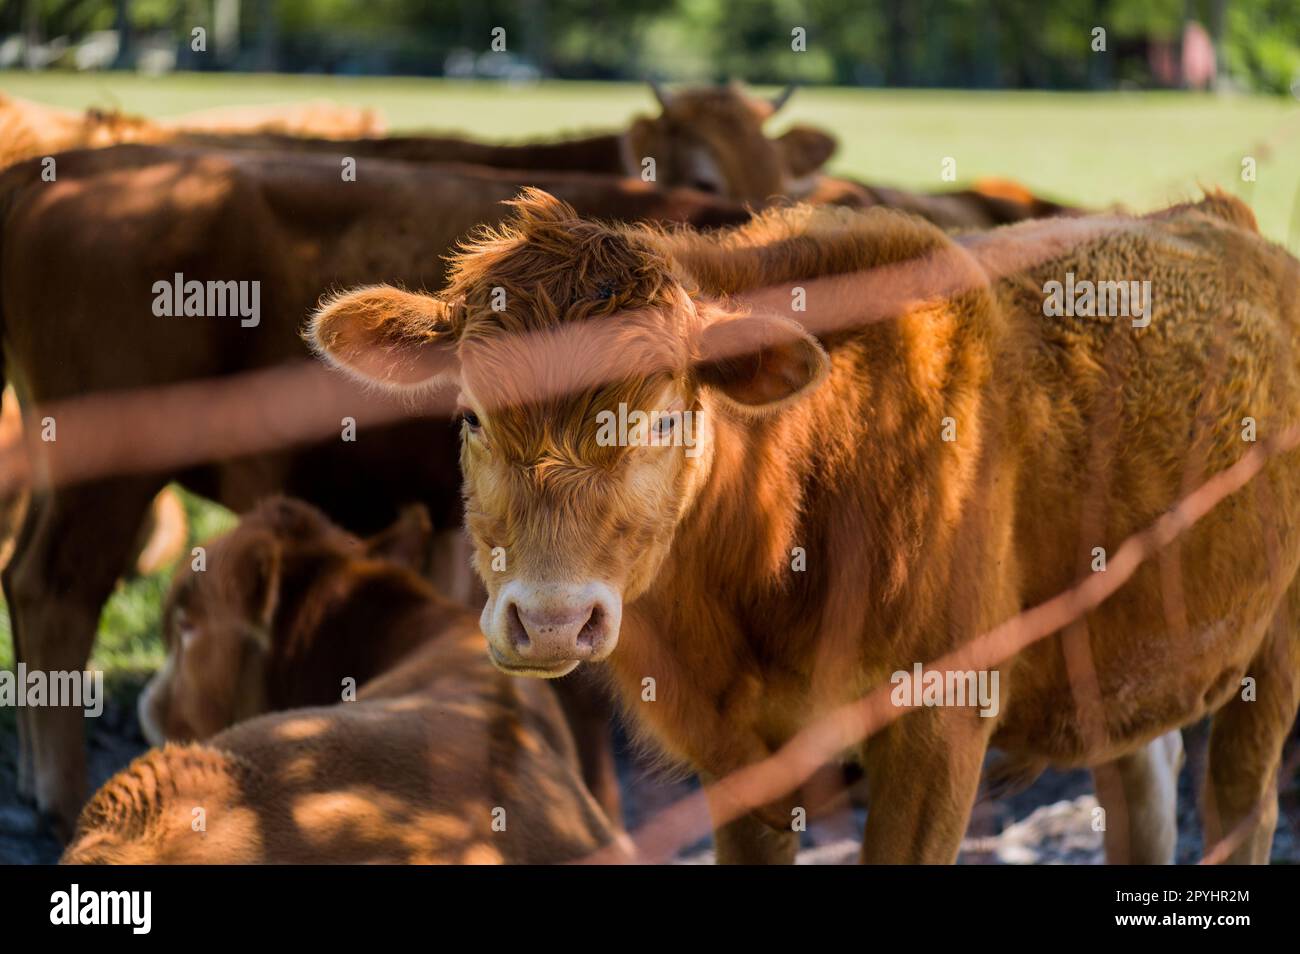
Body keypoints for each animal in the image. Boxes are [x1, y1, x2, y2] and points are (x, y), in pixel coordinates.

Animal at [311, 188, 1300, 864]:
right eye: (471, 417)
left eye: (661, 420)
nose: (551, 620)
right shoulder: (738, 755)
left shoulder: (939, 726)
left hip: (1273, 655)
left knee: (1243, 806)